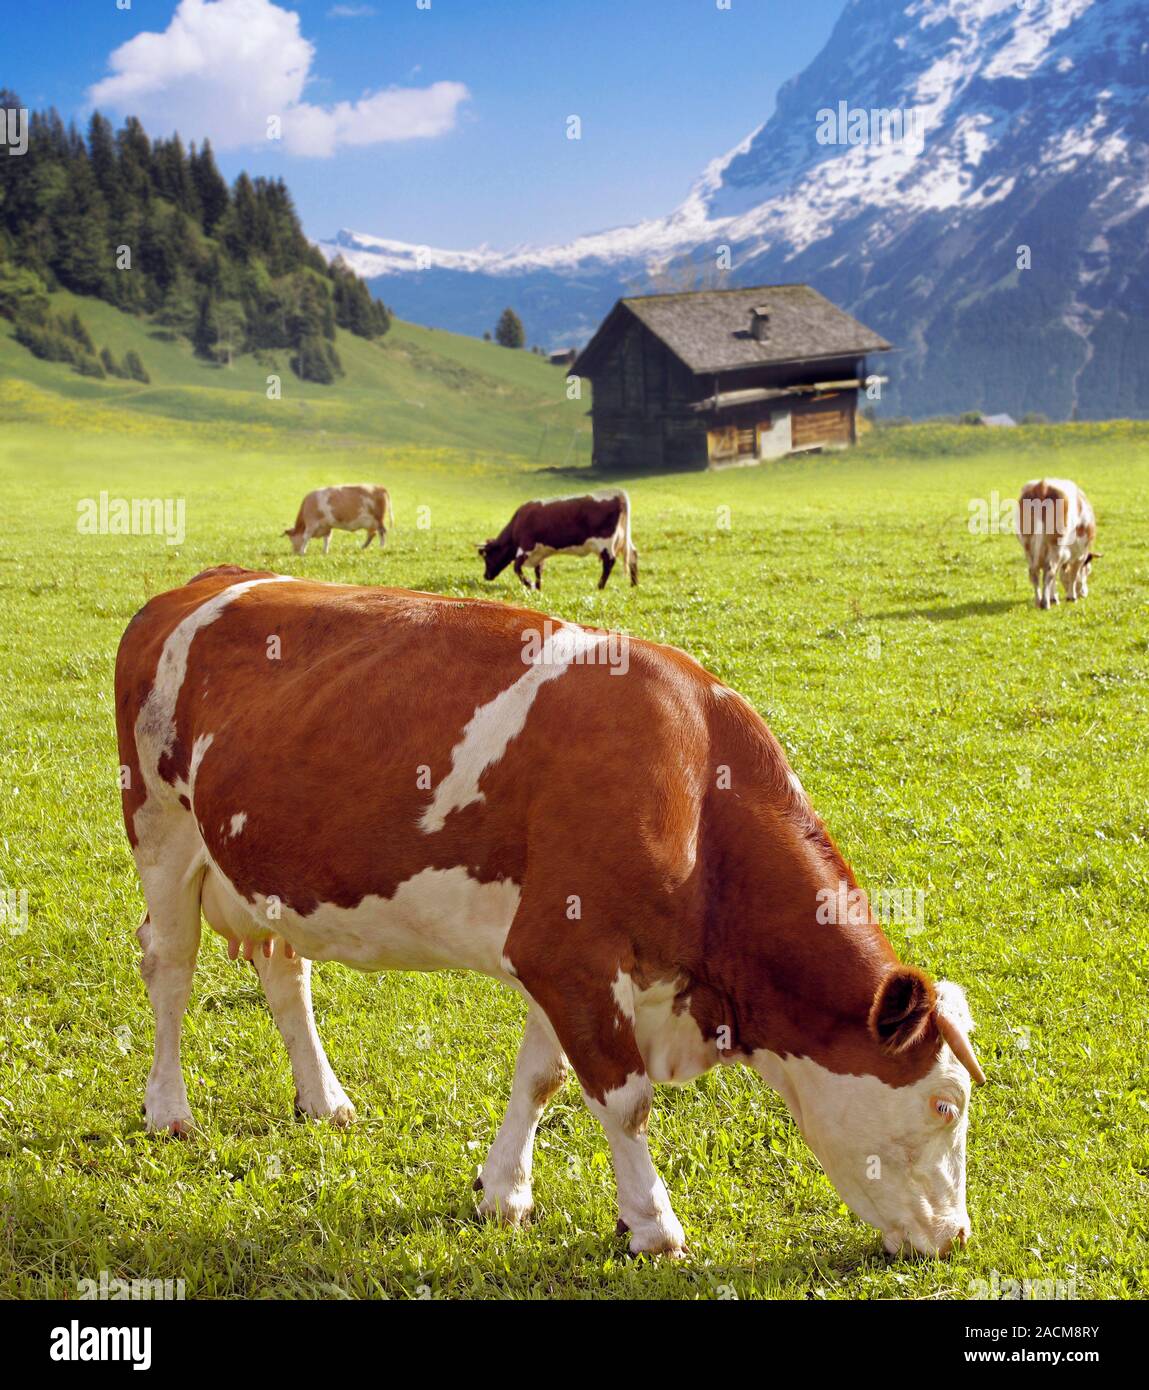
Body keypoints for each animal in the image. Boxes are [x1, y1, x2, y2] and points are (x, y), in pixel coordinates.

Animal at [115, 567, 984, 1259]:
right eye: (944, 1104)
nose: (955, 1237)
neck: (696, 790)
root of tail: (200, 583)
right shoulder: (568, 950)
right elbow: (625, 1100)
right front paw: (652, 1227)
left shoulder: (554, 952)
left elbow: (541, 1078)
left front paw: (502, 1193)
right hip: (160, 826)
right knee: (169, 966)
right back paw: (168, 1109)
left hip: (262, 869)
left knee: (282, 969)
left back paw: (323, 1100)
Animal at [478, 489, 638, 591]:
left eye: (487, 557)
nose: (486, 576)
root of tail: (617, 493)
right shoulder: (540, 551)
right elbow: (538, 570)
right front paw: (538, 587)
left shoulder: (525, 546)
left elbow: (517, 567)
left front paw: (529, 584)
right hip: (623, 539)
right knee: (633, 555)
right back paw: (634, 584)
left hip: (605, 542)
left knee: (609, 562)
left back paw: (600, 586)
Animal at [1017, 478, 1097, 609]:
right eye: (1088, 570)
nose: (1084, 593)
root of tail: (1042, 485)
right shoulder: (1080, 554)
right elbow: (1073, 574)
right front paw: (1071, 597)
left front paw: (1053, 597)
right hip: (1056, 545)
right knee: (1050, 570)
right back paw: (1045, 603)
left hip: (1027, 545)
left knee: (1034, 572)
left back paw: (1038, 601)